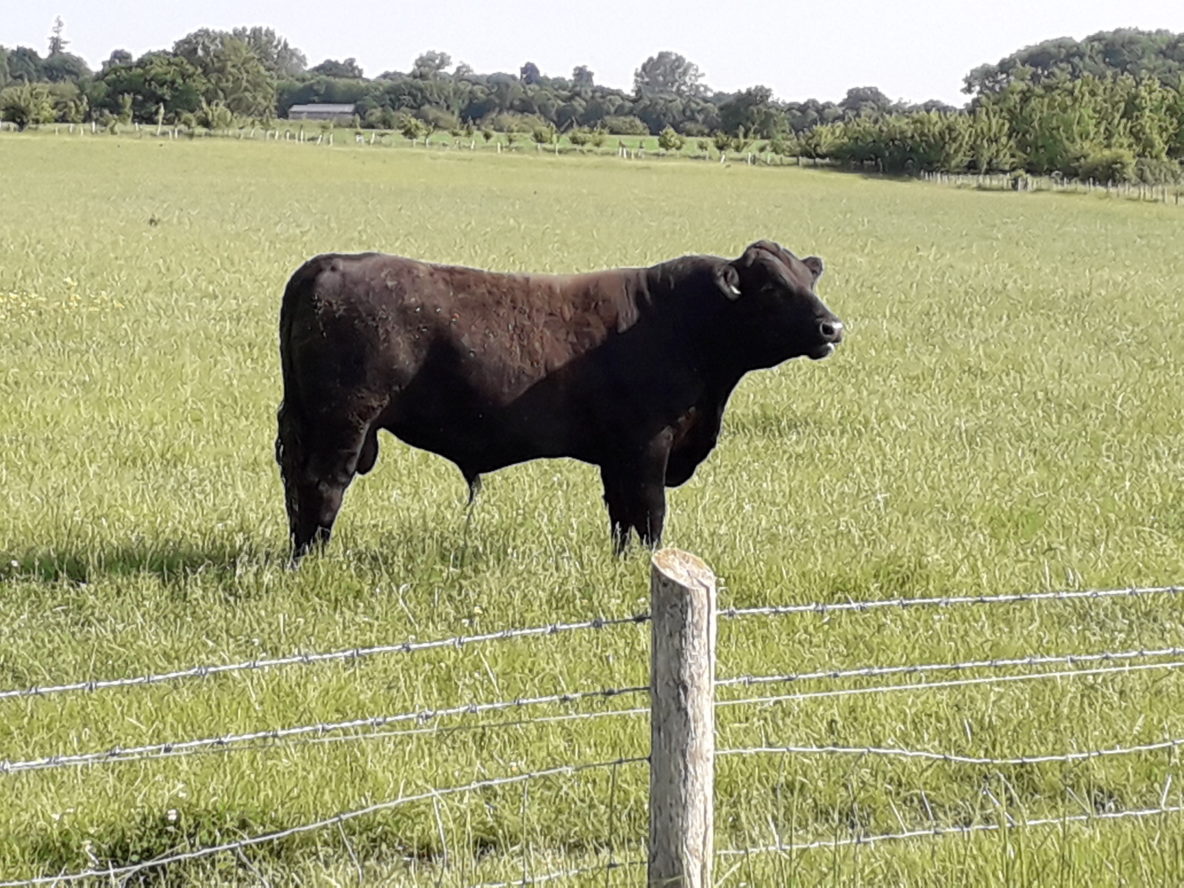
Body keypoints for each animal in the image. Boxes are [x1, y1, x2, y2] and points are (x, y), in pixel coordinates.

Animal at [275, 240, 843, 563]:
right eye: (771, 287)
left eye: (809, 278)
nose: (832, 327)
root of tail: (328, 264)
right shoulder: (647, 446)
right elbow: (649, 513)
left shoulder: (618, 454)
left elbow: (622, 516)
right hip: (344, 421)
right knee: (322, 487)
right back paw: (313, 561)